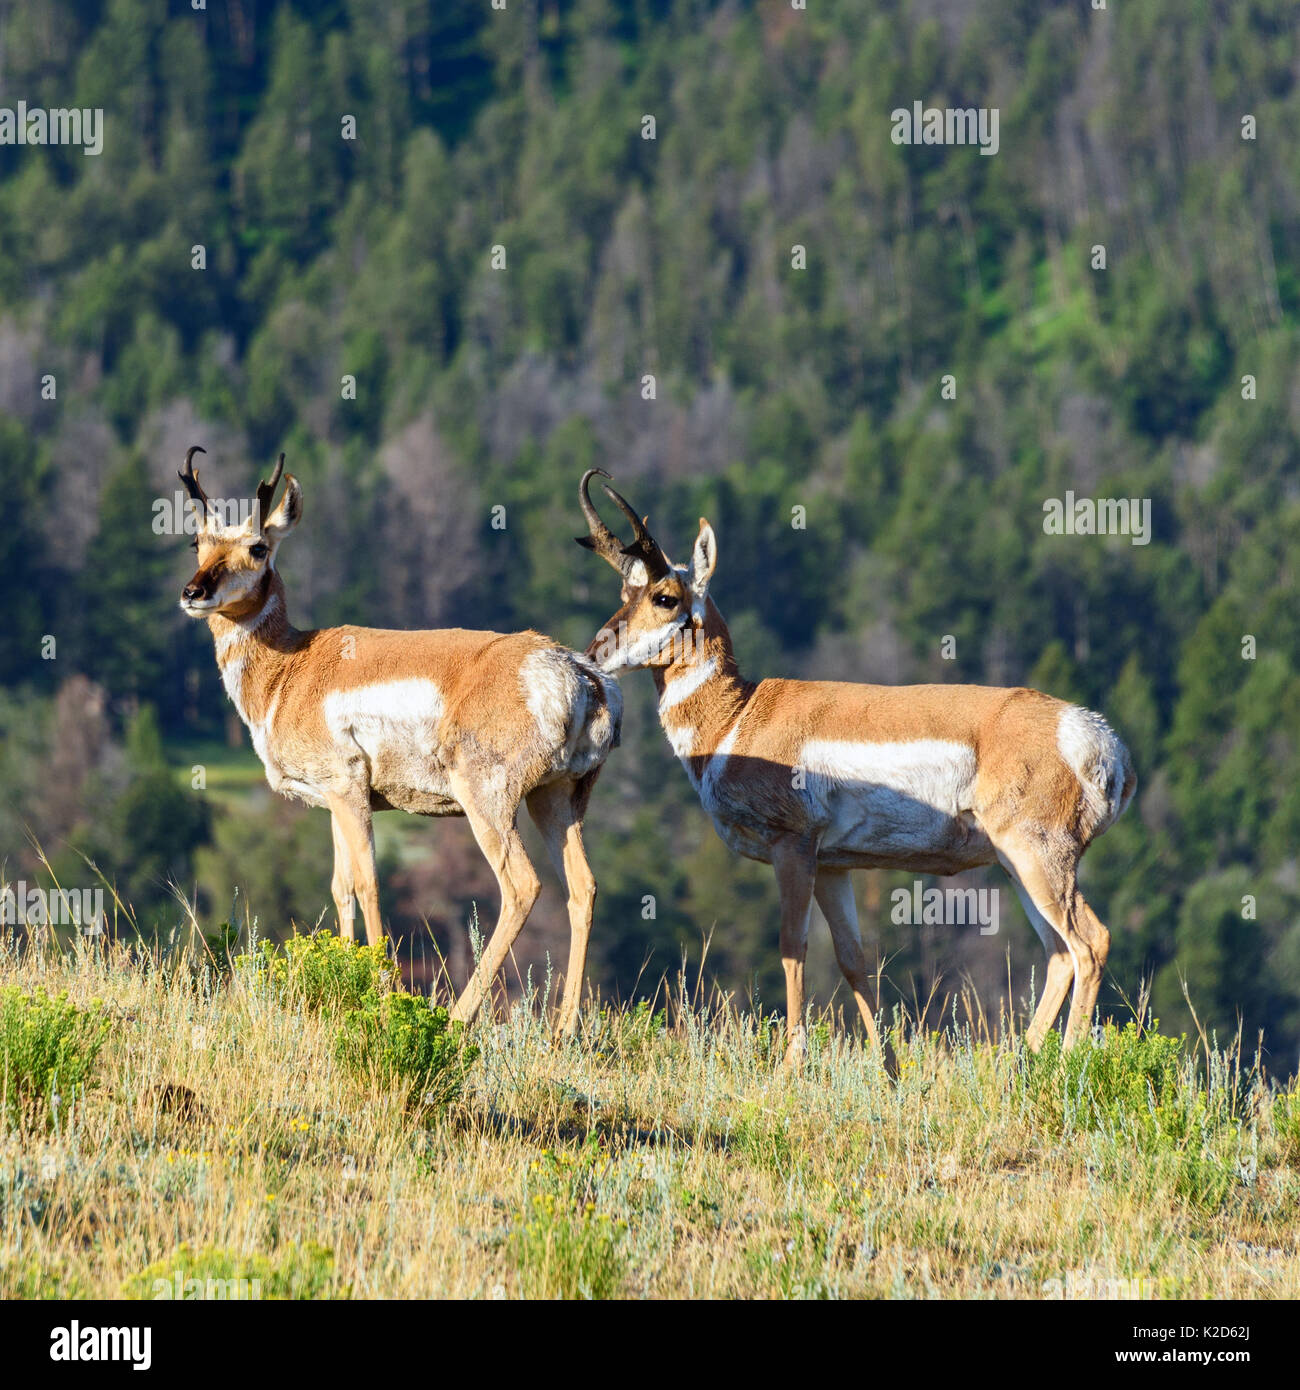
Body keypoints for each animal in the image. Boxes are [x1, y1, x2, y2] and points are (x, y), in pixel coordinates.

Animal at [176, 447, 622, 1035]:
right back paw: (564, 1030)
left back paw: (457, 1018)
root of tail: (577, 670)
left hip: (488, 800)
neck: (293, 668)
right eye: (197, 543)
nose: (192, 593)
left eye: (257, 546)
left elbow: (368, 883)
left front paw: (380, 995)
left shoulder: (347, 789)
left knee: (522, 887)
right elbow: (341, 887)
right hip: (556, 799)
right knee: (583, 886)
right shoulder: (332, 802)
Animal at [576, 471, 1136, 1064]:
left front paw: (792, 1065)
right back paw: (1017, 1062)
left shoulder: (793, 846)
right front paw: (887, 1069)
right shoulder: (834, 865)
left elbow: (793, 946)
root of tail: (1098, 739)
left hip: (1038, 856)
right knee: (1058, 954)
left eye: (665, 597)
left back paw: (1067, 1062)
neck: (739, 717)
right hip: (1017, 865)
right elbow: (853, 960)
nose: (595, 651)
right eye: (625, 594)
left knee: (1089, 943)